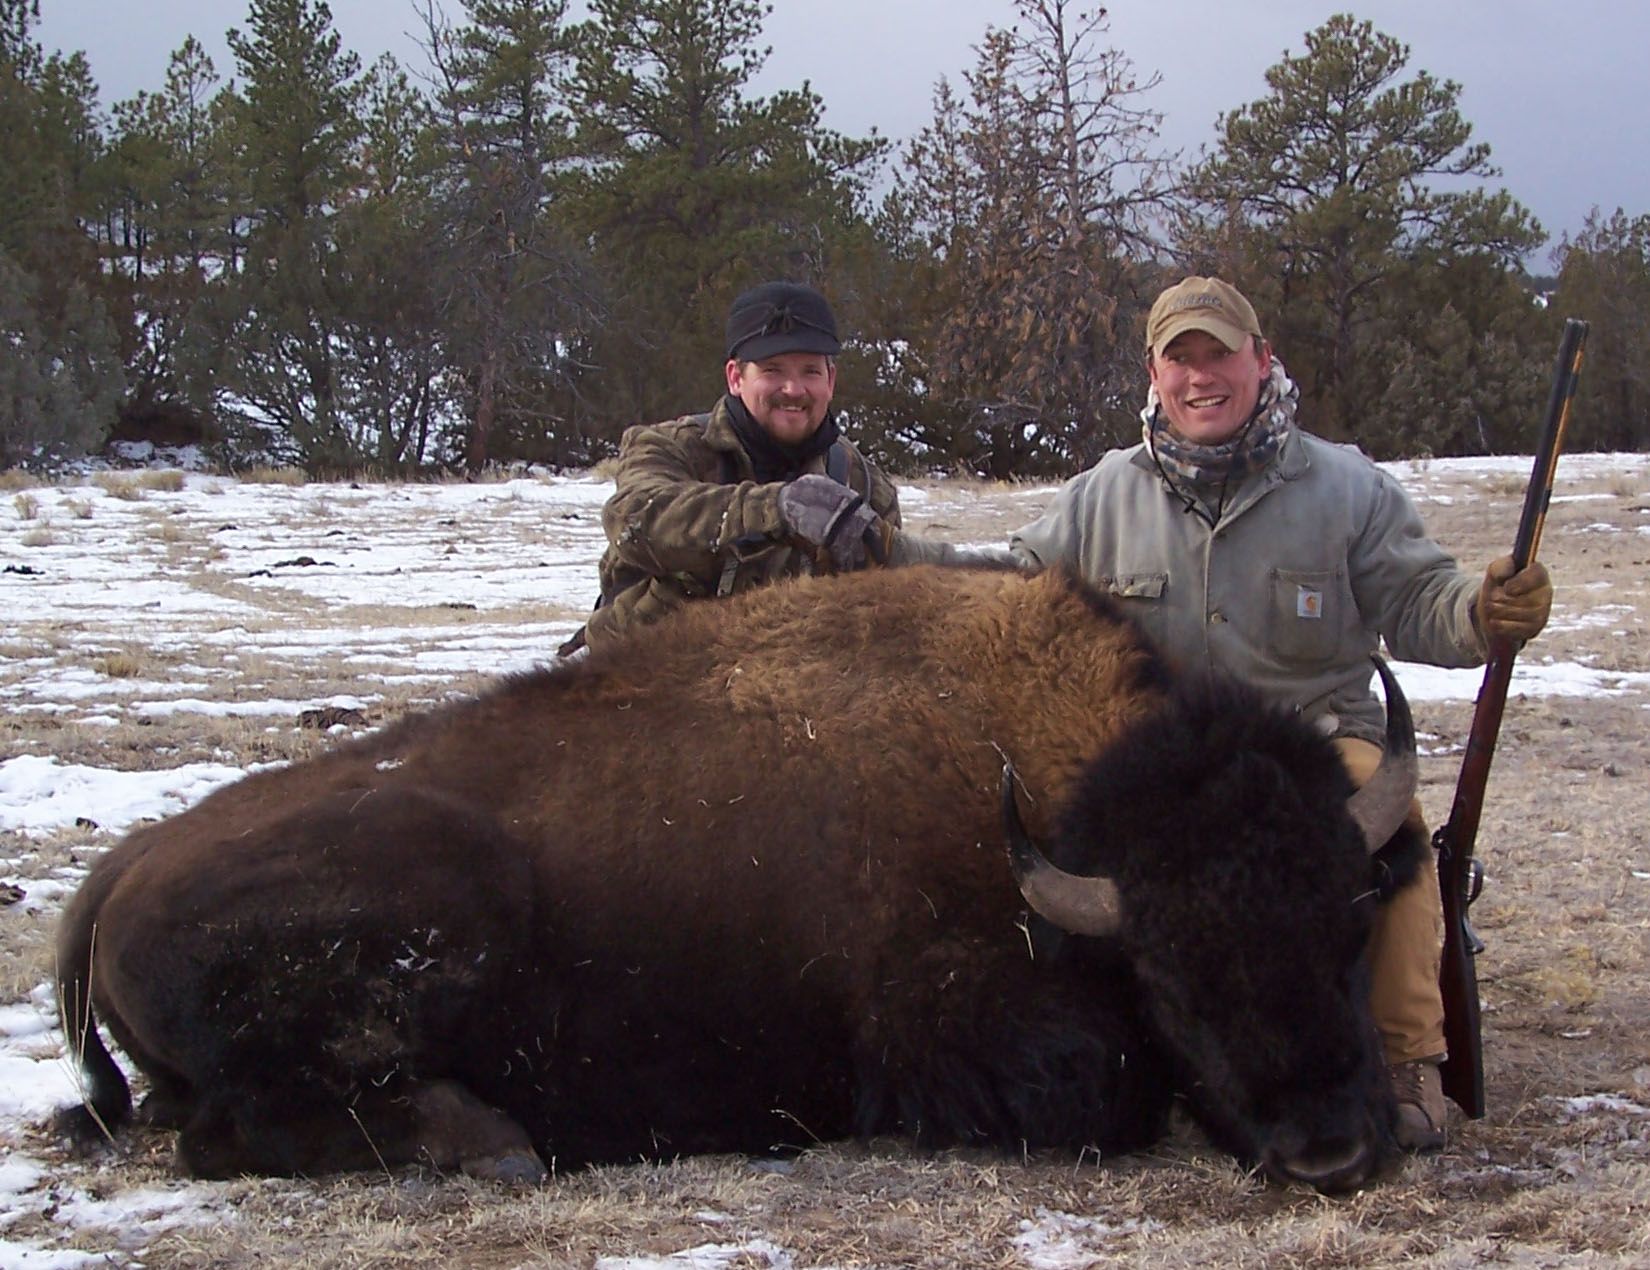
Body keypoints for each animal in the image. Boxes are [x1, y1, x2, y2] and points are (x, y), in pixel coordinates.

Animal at [55, 565, 1422, 1193]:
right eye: (1170, 979)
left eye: (1352, 925)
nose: (1334, 1153)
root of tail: (118, 869)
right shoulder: (943, 1021)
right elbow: (1102, 1083)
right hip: (455, 893)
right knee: (225, 1131)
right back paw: (493, 1141)